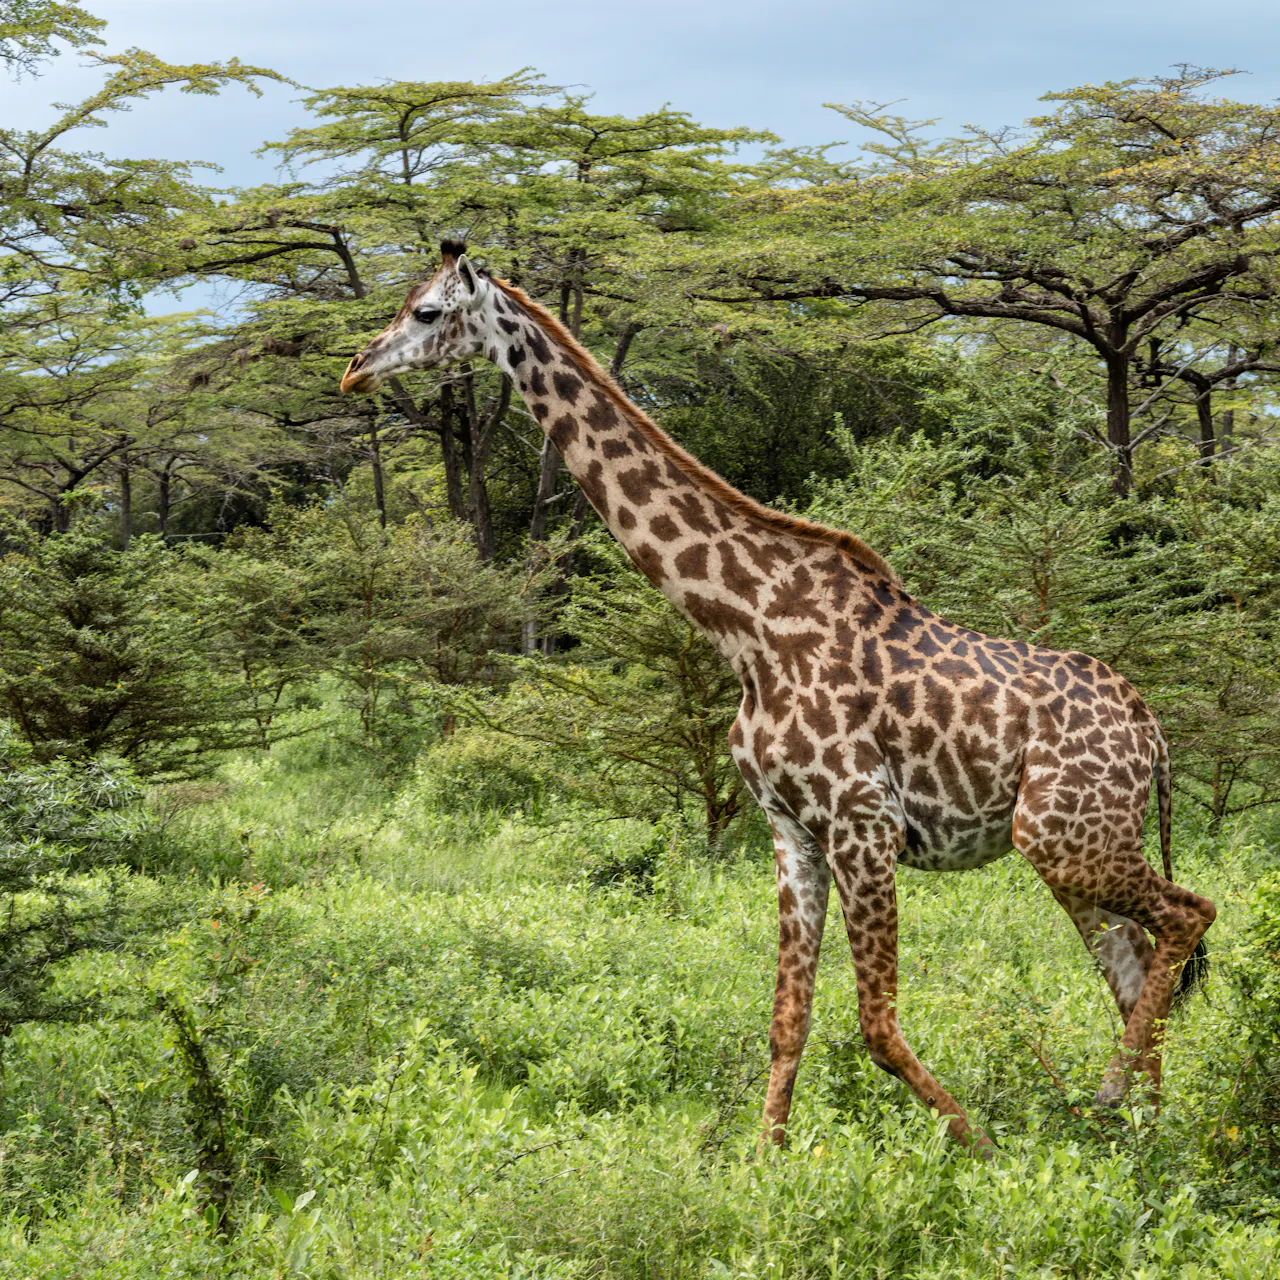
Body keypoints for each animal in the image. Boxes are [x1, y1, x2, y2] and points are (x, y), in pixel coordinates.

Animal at [342, 242, 1216, 1148]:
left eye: (427, 312)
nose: (354, 369)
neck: (747, 626)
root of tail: (1152, 731)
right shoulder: (791, 831)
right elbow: (786, 1019)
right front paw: (765, 1161)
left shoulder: (863, 823)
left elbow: (875, 1023)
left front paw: (974, 1143)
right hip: (1075, 847)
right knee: (1133, 965)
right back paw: (1142, 1132)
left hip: (1060, 834)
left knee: (1188, 916)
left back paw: (1111, 1105)